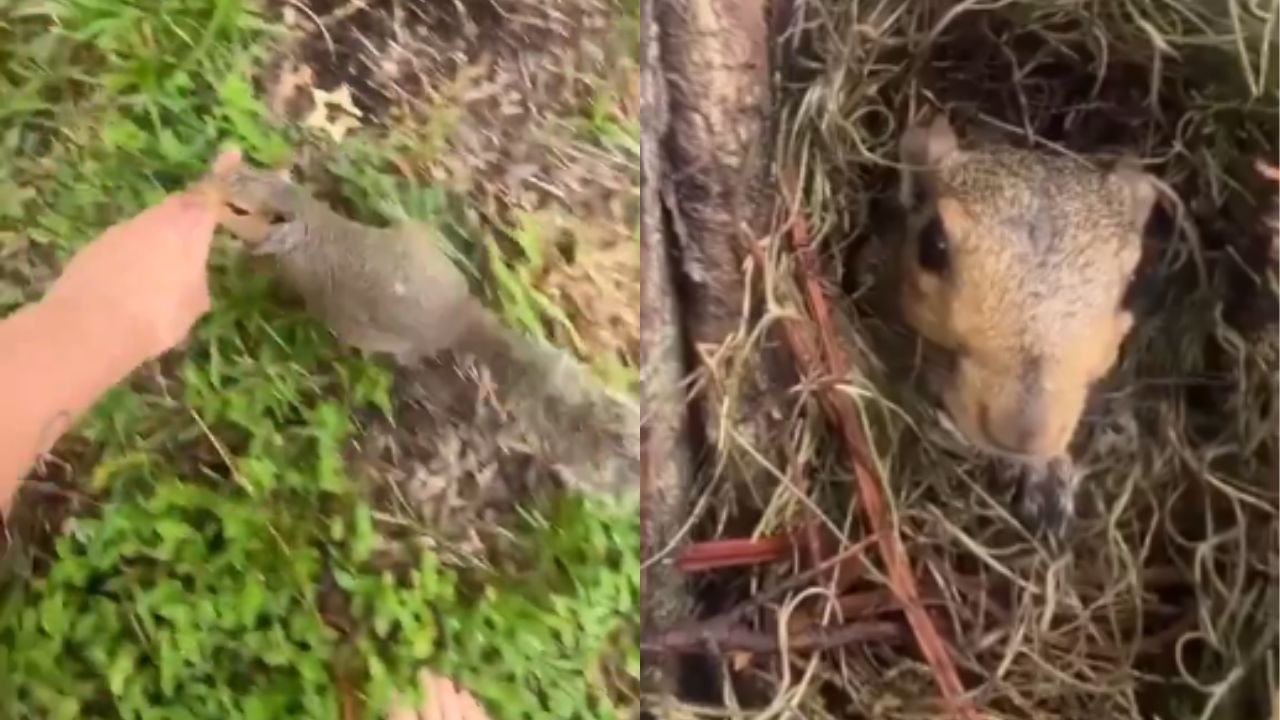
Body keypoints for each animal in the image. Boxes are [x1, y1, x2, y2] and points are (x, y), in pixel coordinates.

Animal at [201, 151, 638, 501]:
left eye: (239, 210)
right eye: (246, 169)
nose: (208, 183)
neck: (305, 225)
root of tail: (459, 315)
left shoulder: (275, 264)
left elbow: (249, 269)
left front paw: (220, 253)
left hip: (380, 337)